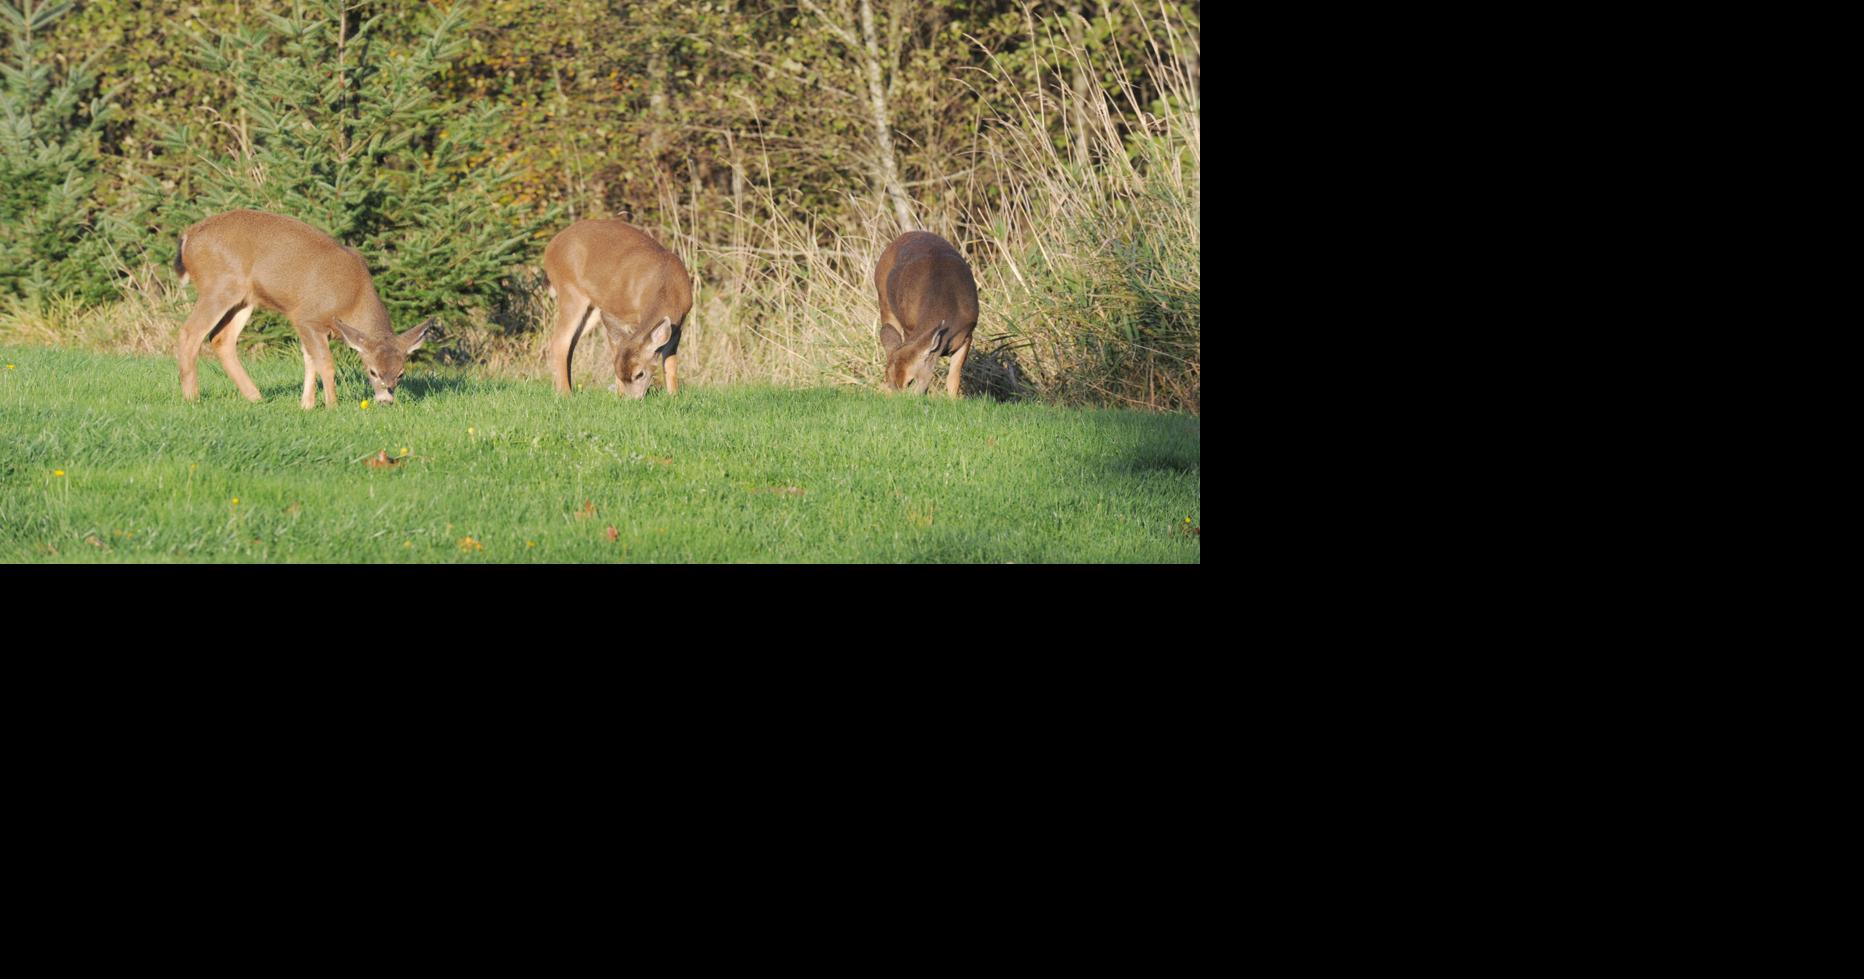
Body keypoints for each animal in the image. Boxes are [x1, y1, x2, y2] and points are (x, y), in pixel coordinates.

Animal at [173, 210, 434, 408]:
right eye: (372, 372)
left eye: (401, 373)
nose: (386, 400)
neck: (353, 297)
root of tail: (188, 237)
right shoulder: (306, 317)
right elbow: (325, 363)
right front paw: (332, 405)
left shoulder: (312, 326)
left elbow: (310, 361)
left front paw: (306, 405)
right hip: (218, 287)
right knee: (189, 332)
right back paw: (192, 398)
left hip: (244, 298)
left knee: (221, 339)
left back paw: (256, 397)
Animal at [542, 218, 693, 398]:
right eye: (620, 372)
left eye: (640, 374)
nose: (632, 400)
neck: (667, 286)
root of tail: (550, 247)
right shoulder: (621, 313)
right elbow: (616, 349)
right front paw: (619, 393)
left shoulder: (680, 323)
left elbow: (670, 363)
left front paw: (673, 395)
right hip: (570, 291)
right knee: (560, 341)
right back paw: (565, 393)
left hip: (592, 308)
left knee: (571, 343)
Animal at [874, 231, 977, 397]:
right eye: (889, 379)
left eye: (910, 381)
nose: (900, 398)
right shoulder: (910, 327)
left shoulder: (967, 334)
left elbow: (953, 379)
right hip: (884, 301)